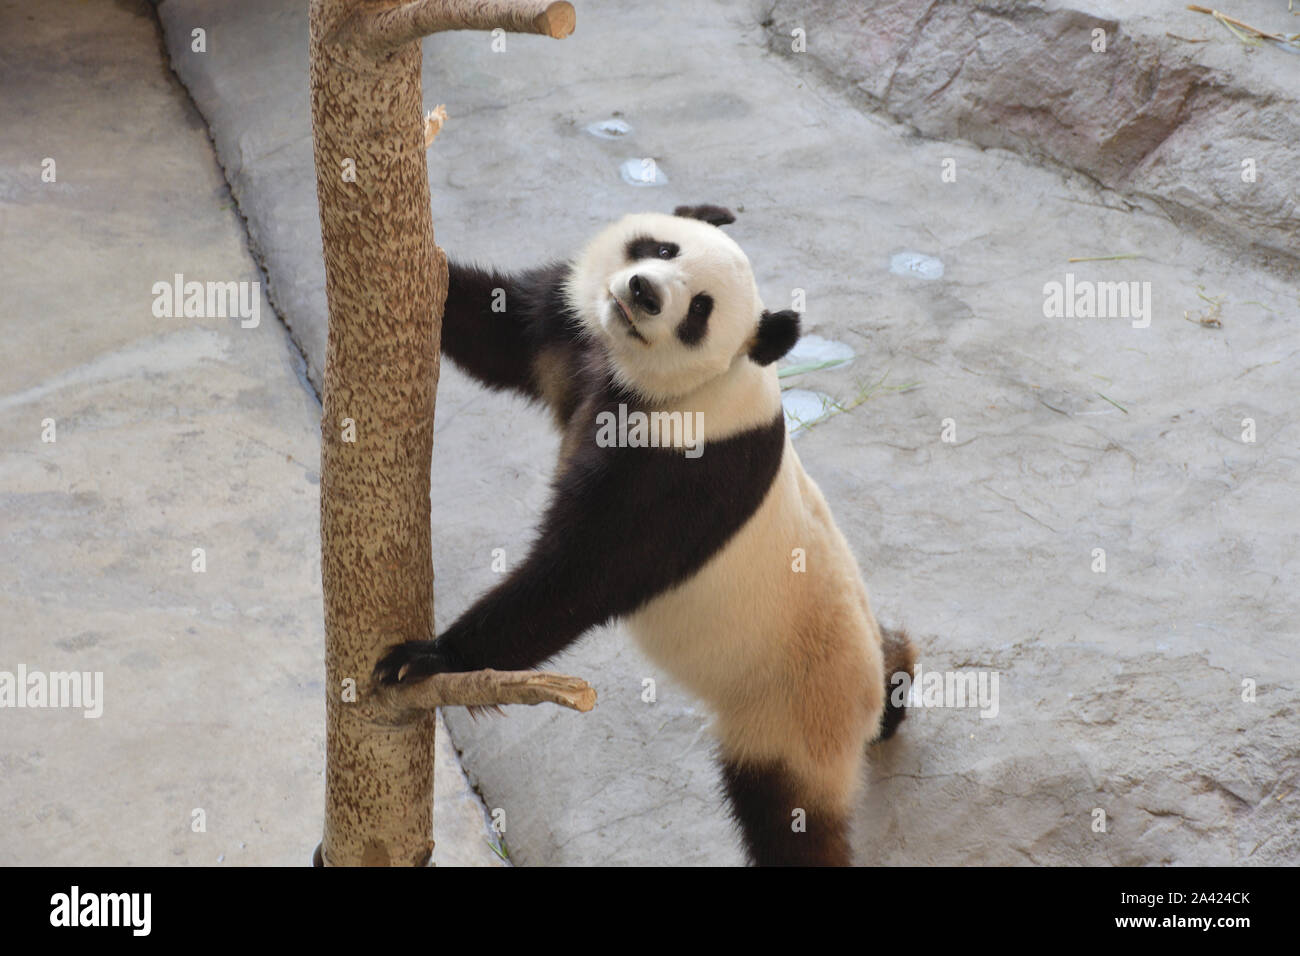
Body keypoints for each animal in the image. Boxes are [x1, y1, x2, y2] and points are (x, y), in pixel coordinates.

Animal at [375, 204, 917, 866]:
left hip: (791, 709)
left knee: (789, 819)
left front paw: (427, 658)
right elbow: (501, 330)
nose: (642, 292)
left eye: (700, 309)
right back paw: (899, 687)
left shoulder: (684, 471)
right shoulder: (580, 342)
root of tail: (860, 709)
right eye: (662, 248)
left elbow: (584, 576)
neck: (703, 384)